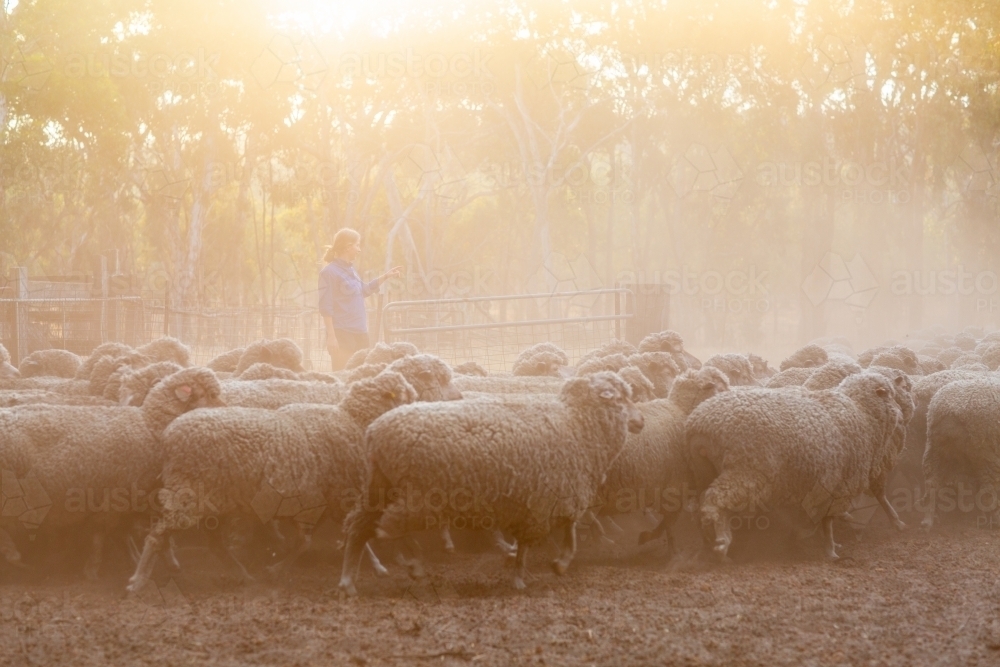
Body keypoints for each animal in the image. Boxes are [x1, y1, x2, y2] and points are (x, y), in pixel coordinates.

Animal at [0, 367, 224, 579]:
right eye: (211, 394)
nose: (226, 412)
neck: (150, 426)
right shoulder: (114, 499)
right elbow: (101, 534)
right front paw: (92, 569)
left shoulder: (137, 500)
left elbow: (132, 533)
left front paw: (148, 561)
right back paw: (15, 557)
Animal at [126, 370, 418, 593]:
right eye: (405, 393)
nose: (419, 403)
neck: (353, 421)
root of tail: (169, 434)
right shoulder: (338, 495)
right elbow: (339, 537)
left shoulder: (319, 500)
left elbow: (314, 540)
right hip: (189, 494)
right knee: (157, 536)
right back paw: (138, 581)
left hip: (212, 500)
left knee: (212, 543)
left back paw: (242, 574)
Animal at [338, 371, 645, 594]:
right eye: (622, 399)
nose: (640, 421)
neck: (578, 424)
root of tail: (375, 431)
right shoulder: (544, 501)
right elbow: (537, 542)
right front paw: (521, 578)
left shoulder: (554, 497)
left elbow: (569, 531)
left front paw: (559, 563)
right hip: (419, 495)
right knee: (388, 528)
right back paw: (409, 564)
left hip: (380, 486)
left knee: (359, 527)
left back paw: (349, 582)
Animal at [685, 371, 906, 561]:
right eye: (891, 394)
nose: (902, 415)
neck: (863, 413)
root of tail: (702, 425)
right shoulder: (838, 486)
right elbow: (827, 522)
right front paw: (830, 550)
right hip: (747, 473)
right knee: (714, 500)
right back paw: (722, 543)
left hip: (702, 471)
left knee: (700, 506)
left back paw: (707, 542)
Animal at [921, 376, 1000, 530]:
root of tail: (951, 411)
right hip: (987, 454)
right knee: (989, 492)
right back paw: (995, 520)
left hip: (935, 449)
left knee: (931, 483)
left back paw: (928, 521)